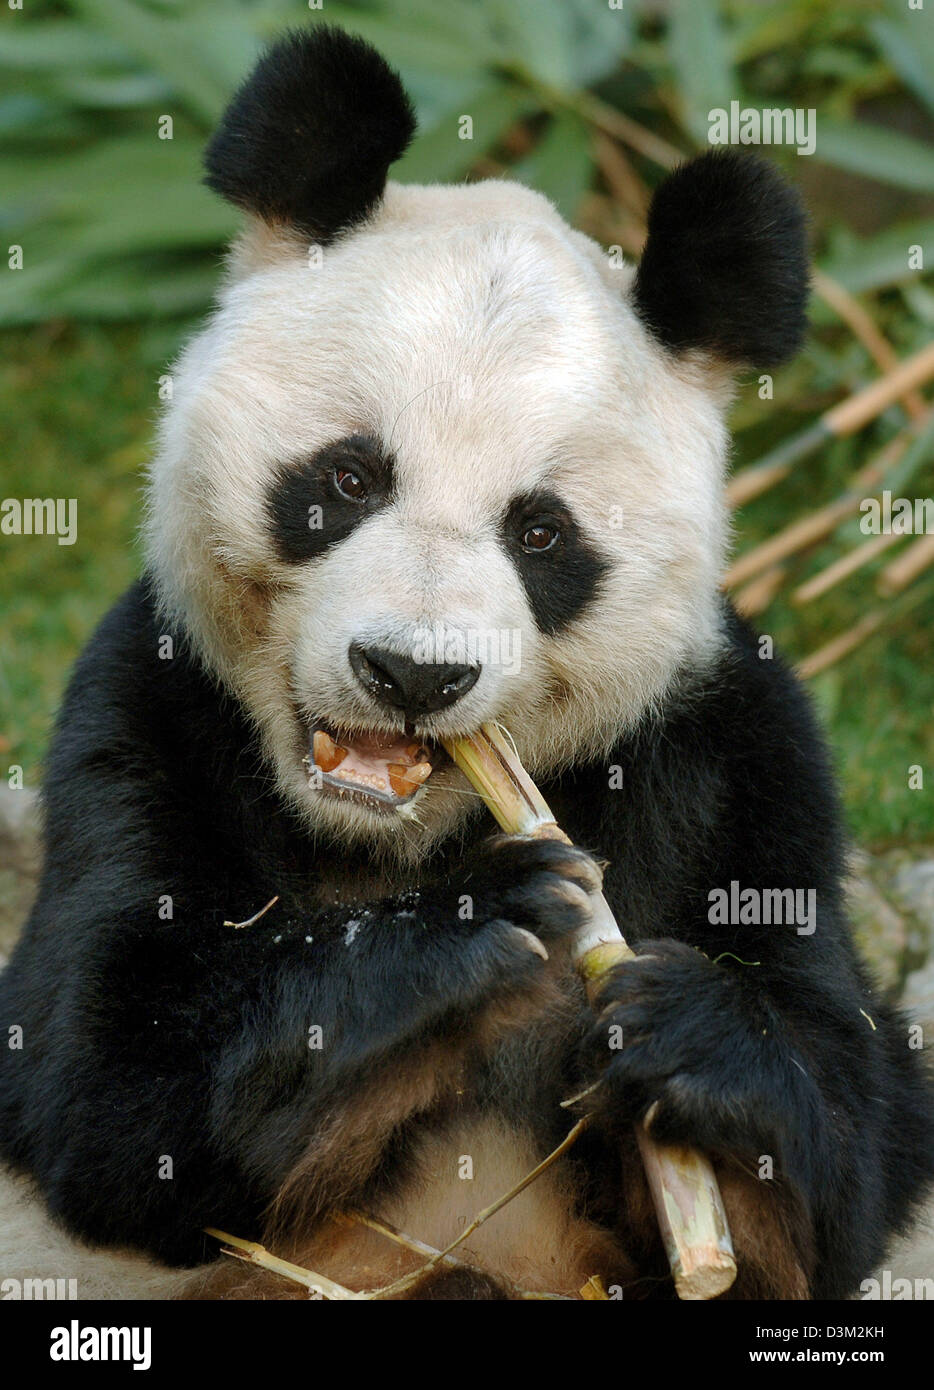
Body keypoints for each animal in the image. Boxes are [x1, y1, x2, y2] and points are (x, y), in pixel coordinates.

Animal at [1, 26, 932, 1302]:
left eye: (540, 533)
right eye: (347, 478)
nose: (411, 672)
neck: (390, 836)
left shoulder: (742, 754)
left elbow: (850, 1146)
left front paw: (691, 1034)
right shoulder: (142, 711)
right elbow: (103, 1081)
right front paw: (480, 915)